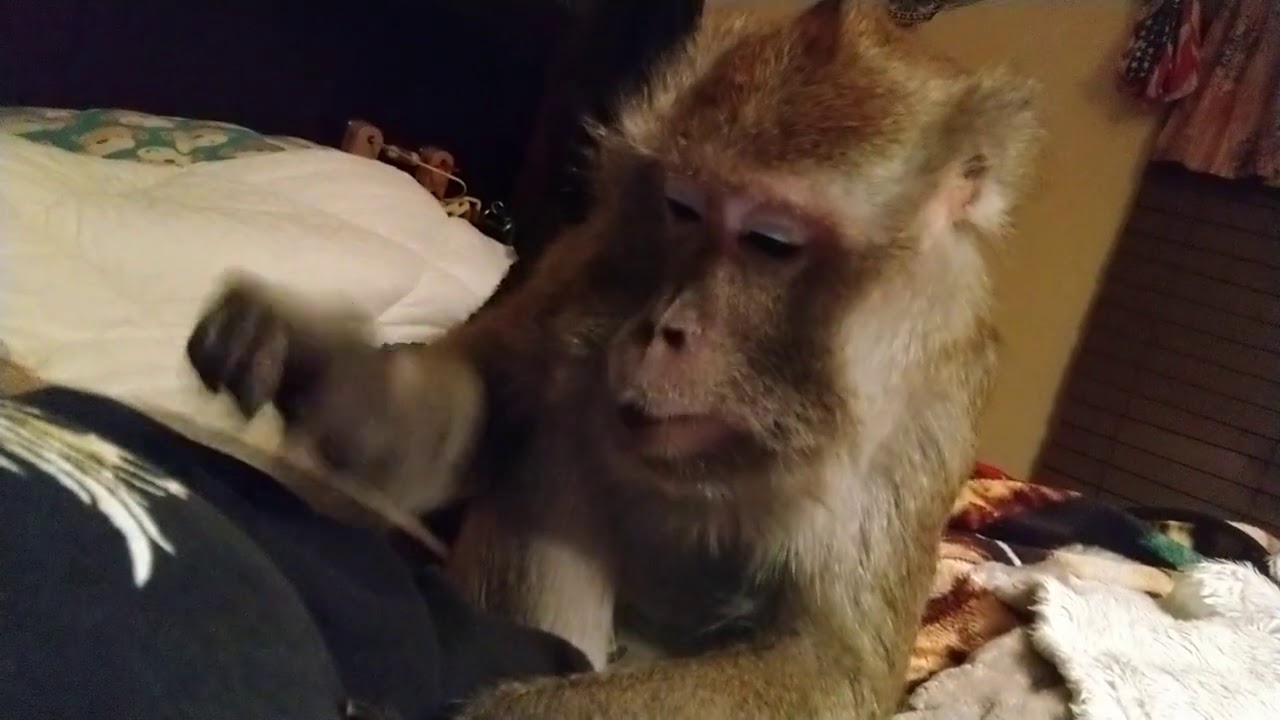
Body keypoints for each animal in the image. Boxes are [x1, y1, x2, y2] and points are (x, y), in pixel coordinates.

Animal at [185, 1, 1042, 717]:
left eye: (771, 243)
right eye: (682, 209)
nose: (663, 328)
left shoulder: (918, 421)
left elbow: (829, 668)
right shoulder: (586, 269)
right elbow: (481, 423)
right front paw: (337, 374)